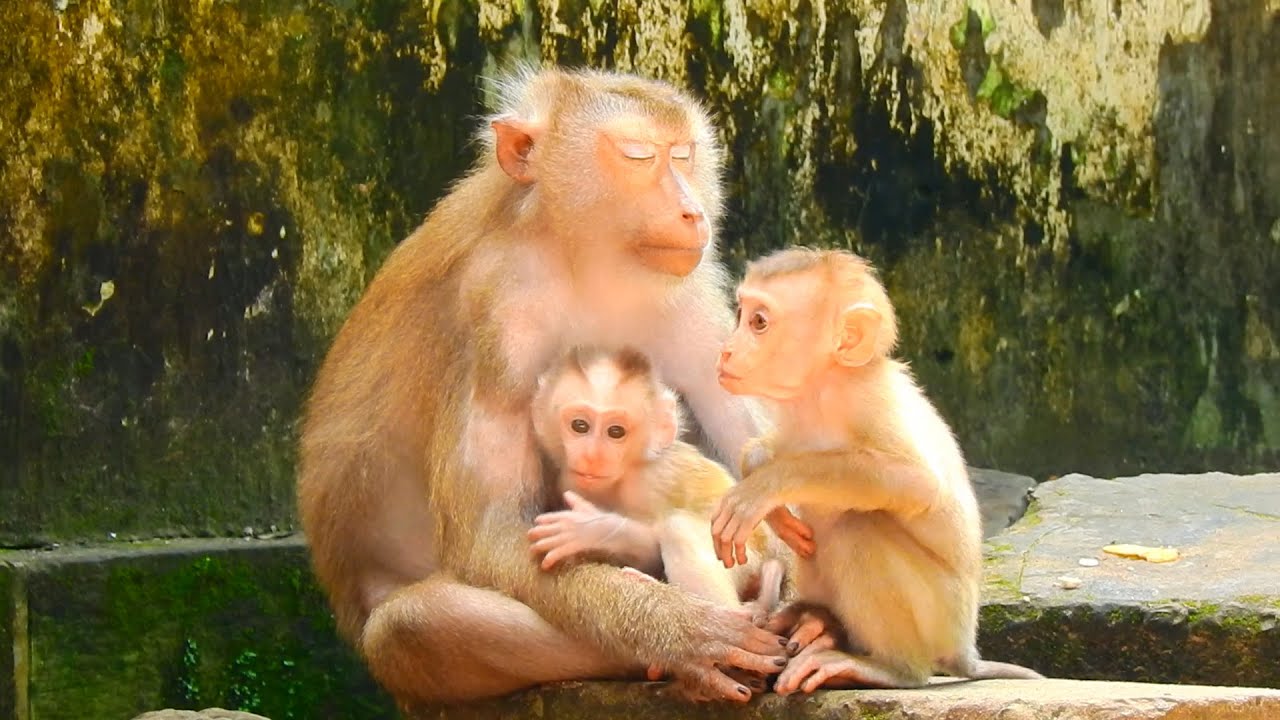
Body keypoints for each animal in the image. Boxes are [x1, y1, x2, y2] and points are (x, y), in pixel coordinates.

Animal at [525, 345, 786, 632]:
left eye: (616, 432)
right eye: (579, 426)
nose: (592, 456)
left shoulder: (649, 482)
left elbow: (652, 540)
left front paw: (593, 529)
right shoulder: (569, 480)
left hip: (747, 558)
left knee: (678, 529)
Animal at [708, 247, 1045, 694]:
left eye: (758, 322)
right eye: (741, 314)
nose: (727, 350)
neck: (822, 389)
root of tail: (965, 650)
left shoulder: (871, 401)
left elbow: (918, 484)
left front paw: (765, 488)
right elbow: (767, 449)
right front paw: (763, 479)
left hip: (939, 616)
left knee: (857, 527)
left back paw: (888, 668)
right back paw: (813, 616)